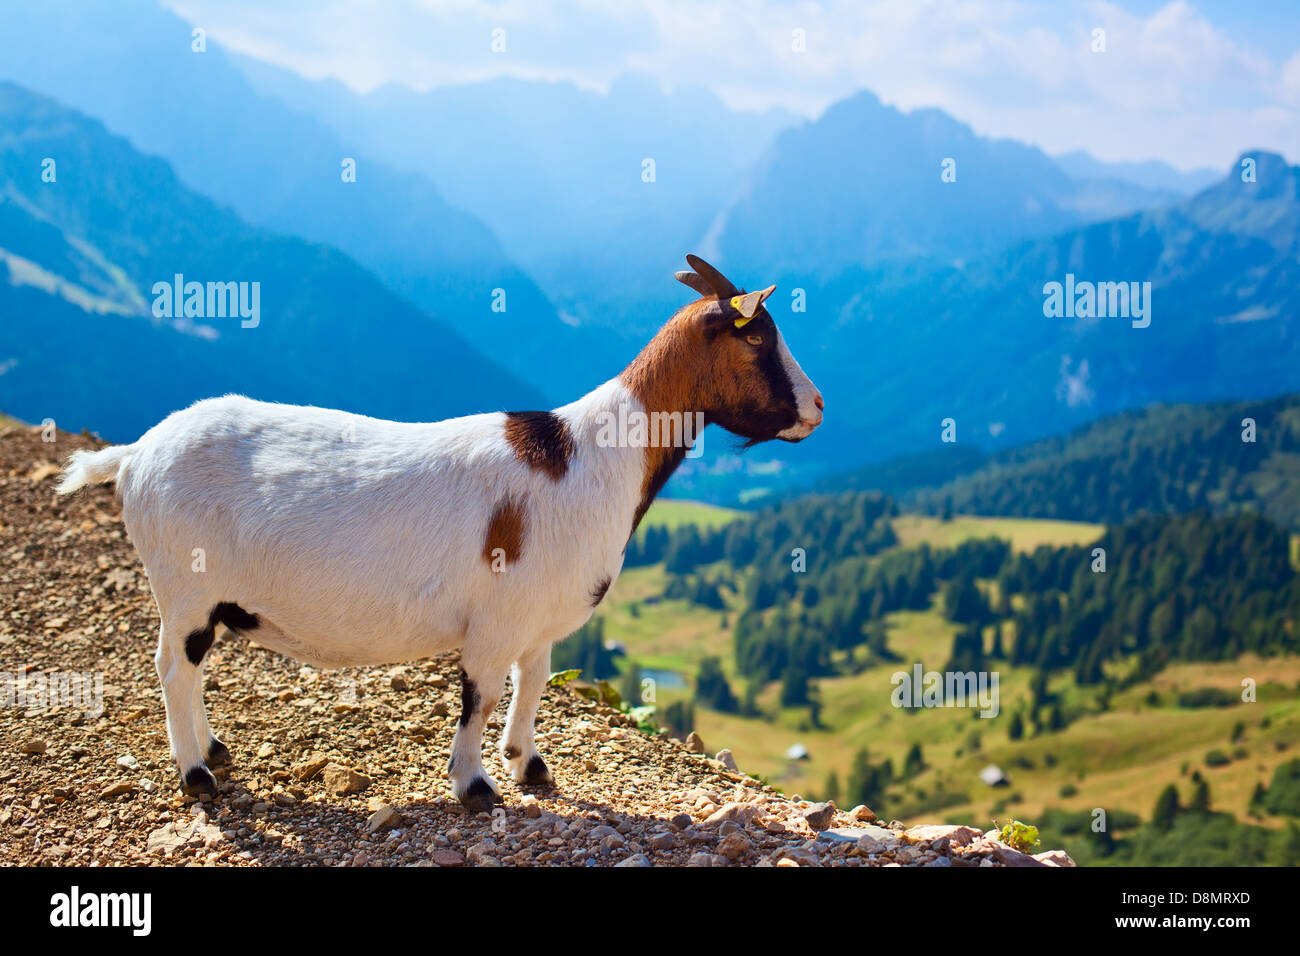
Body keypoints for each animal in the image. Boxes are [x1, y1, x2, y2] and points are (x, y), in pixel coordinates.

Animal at [56, 255, 824, 809]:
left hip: (204, 598)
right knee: (172, 667)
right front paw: (476, 787)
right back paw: (196, 775)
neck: (590, 455)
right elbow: (478, 696)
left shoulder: (539, 618)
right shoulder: (495, 619)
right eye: (759, 337)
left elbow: (533, 681)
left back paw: (213, 751)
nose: (817, 407)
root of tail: (134, 456)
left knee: (189, 669)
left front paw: (529, 765)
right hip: (184, 586)